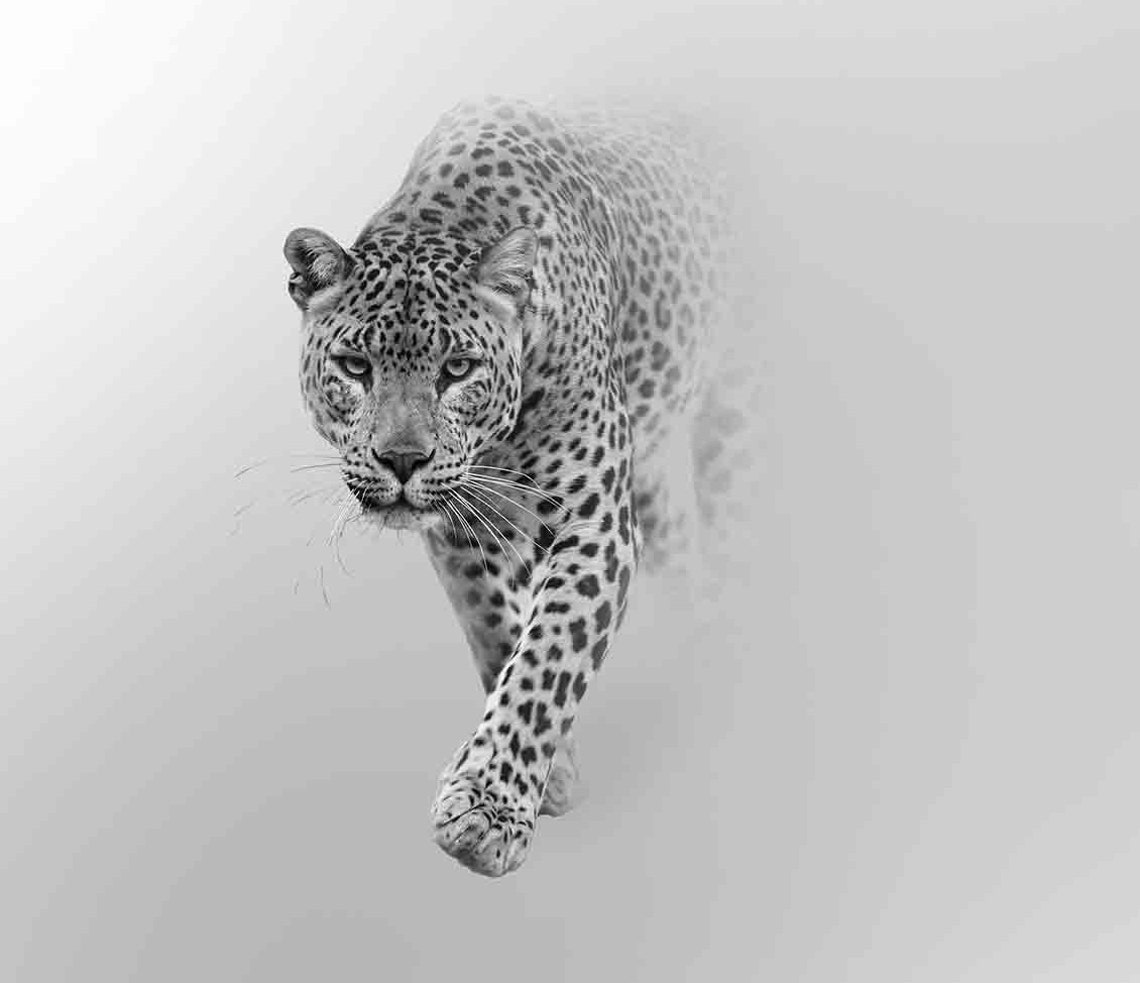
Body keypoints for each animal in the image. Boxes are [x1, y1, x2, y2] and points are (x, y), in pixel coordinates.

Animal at [284, 95, 761, 877]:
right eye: (355, 366)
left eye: (457, 369)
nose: (402, 460)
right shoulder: (463, 532)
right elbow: (499, 633)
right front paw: (550, 773)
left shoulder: (596, 528)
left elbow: (548, 656)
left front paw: (487, 811)